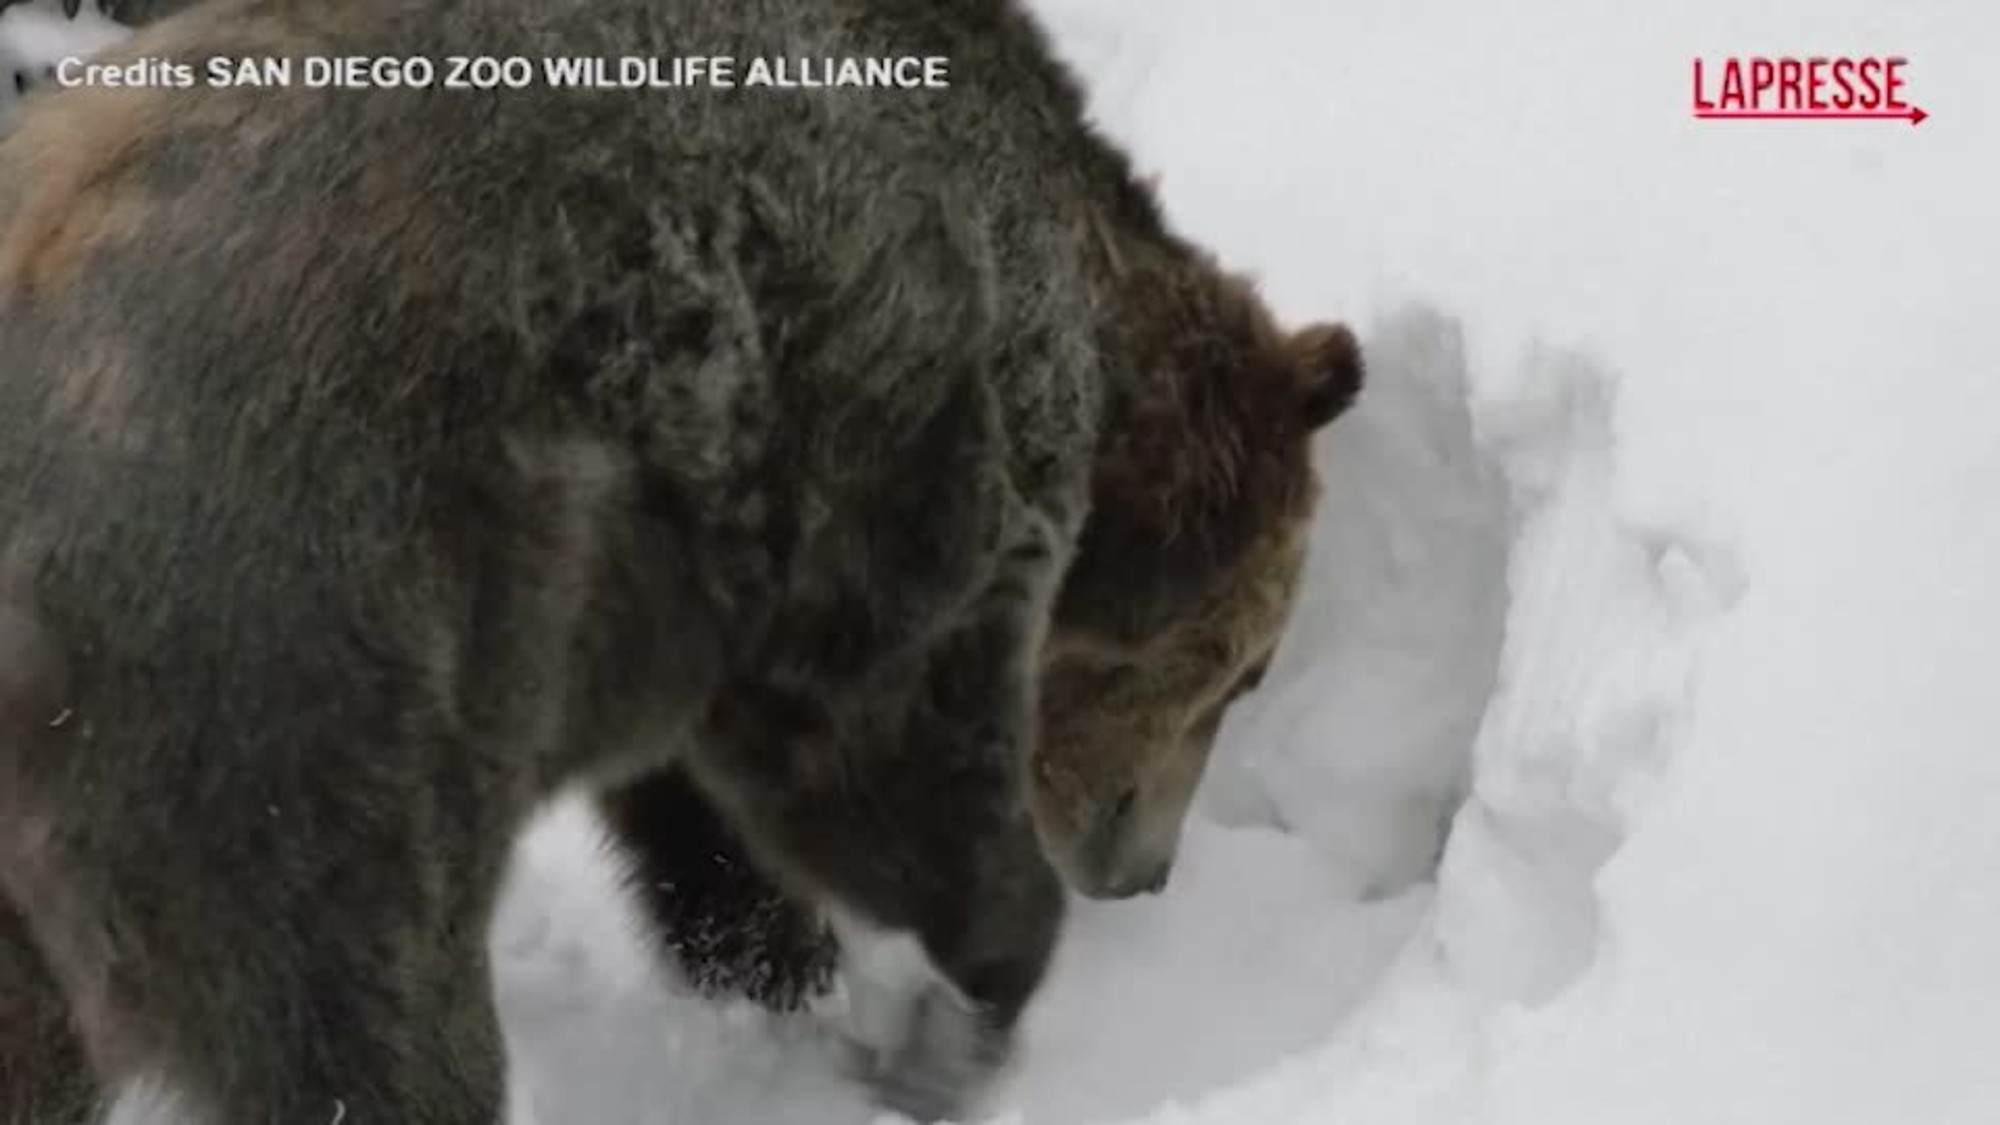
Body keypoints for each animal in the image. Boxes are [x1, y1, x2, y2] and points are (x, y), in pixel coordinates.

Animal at [0, 0, 1363, 1121]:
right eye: (1242, 674)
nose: (1143, 871)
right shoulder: (886, 425)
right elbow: (879, 734)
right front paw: (950, 1012)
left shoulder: (677, 549)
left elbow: (694, 800)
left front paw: (780, 968)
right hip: (293, 673)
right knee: (361, 1014)